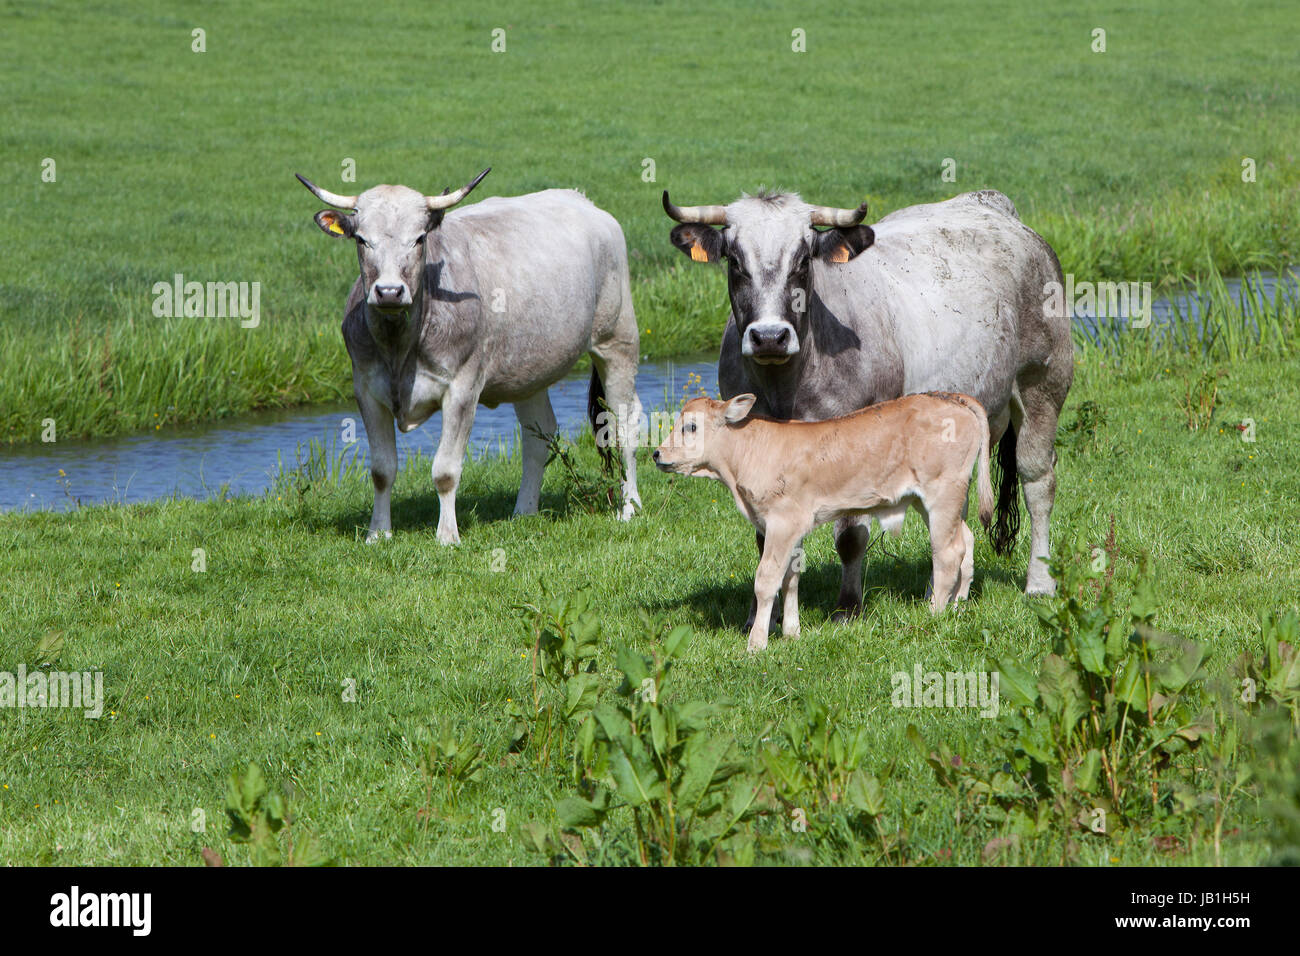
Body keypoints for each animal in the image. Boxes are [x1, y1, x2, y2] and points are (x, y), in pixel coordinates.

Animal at [297, 169, 642, 544]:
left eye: (419, 239)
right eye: (361, 240)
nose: (389, 292)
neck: (399, 347)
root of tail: (584, 202)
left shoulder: (462, 389)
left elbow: (445, 470)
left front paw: (447, 536)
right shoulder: (366, 389)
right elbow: (382, 470)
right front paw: (378, 534)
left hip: (617, 342)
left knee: (623, 425)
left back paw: (629, 508)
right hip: (530, 371)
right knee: (538, 434)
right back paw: (524, 511)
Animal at [654, 391, 994, 652]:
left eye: (691, 426)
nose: (657, 454)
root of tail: (950, 397)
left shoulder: (782, 522)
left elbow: (766, 579)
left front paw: (756, 643)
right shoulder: (794, 528)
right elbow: (791, 578)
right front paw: (791, 632)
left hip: (943, 492)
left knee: (947, 553)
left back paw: (934, 613)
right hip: (934, 501)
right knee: (966, 541)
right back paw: (957, 605)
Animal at [662, 187, 1073, 623]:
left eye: (803, 260)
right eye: (735, 260)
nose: (769, 337)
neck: (786, 382)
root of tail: (993, 204)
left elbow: (851, 536)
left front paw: (847, 606)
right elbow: (766, 542)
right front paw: (763, 617)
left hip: (1042, 386)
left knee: (1037, 482)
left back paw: (1038, 582)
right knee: (950, 517)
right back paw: (942, 592)